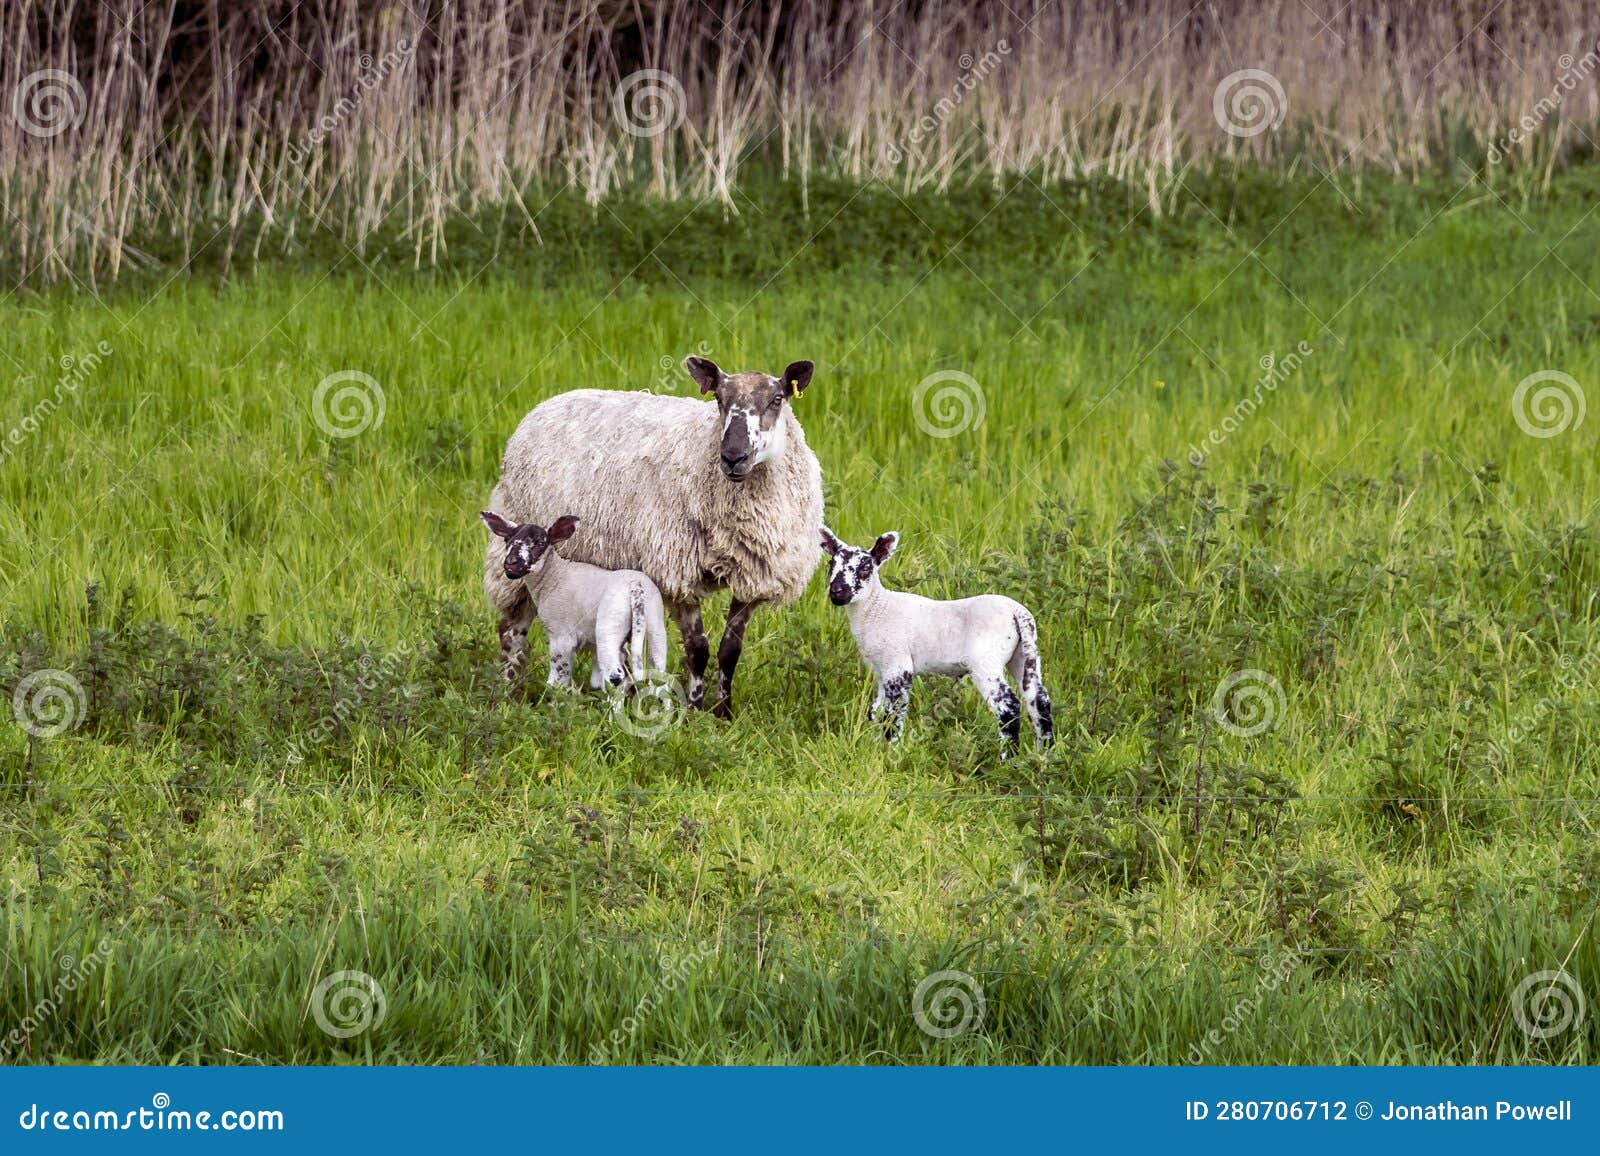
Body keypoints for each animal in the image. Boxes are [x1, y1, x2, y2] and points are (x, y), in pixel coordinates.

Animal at [480, 511, 669, 690]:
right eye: (507, 540)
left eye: (540, 543)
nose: (511, 564)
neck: (553, 575)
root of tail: (636, 588)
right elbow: (597, 679)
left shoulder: (561, 636)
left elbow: (558, 680)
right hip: (655, 627)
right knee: (661, 678)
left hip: (609, 629)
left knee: (617, 675)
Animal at [818, 526, 1054, 751]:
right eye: (831, 563)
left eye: (865, 567)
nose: (837, 592)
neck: (877, 609)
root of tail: (1017, 613)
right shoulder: (881, 670)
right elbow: (877, 711)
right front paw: (874, 746)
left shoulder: (898, 666)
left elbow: (894, 713)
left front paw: (890, 750)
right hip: (1024, 655)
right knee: (1038, 700)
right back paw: (1044, 752)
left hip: (986, 660)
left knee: (1008, 706)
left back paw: (1008, 757)